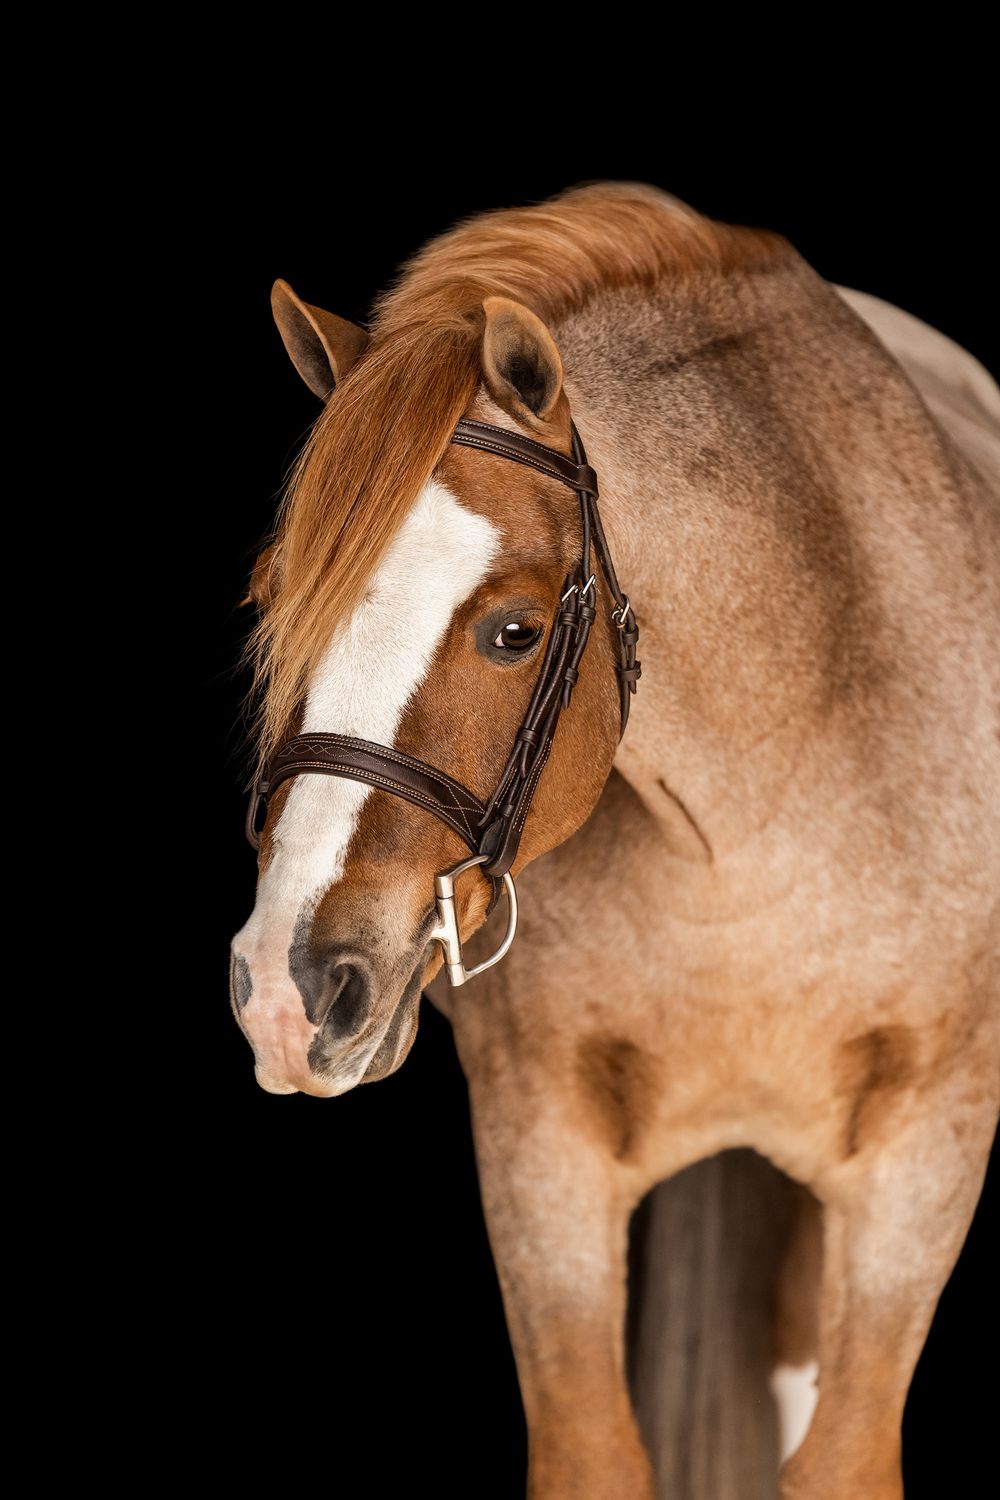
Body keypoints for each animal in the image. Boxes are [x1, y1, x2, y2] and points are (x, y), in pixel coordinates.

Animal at [230, 183, 999, 1500]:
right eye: (280, 602)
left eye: (515, 630)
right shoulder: (541, 1157)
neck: (753, 834)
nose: (289, 990)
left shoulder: (925, 1158)